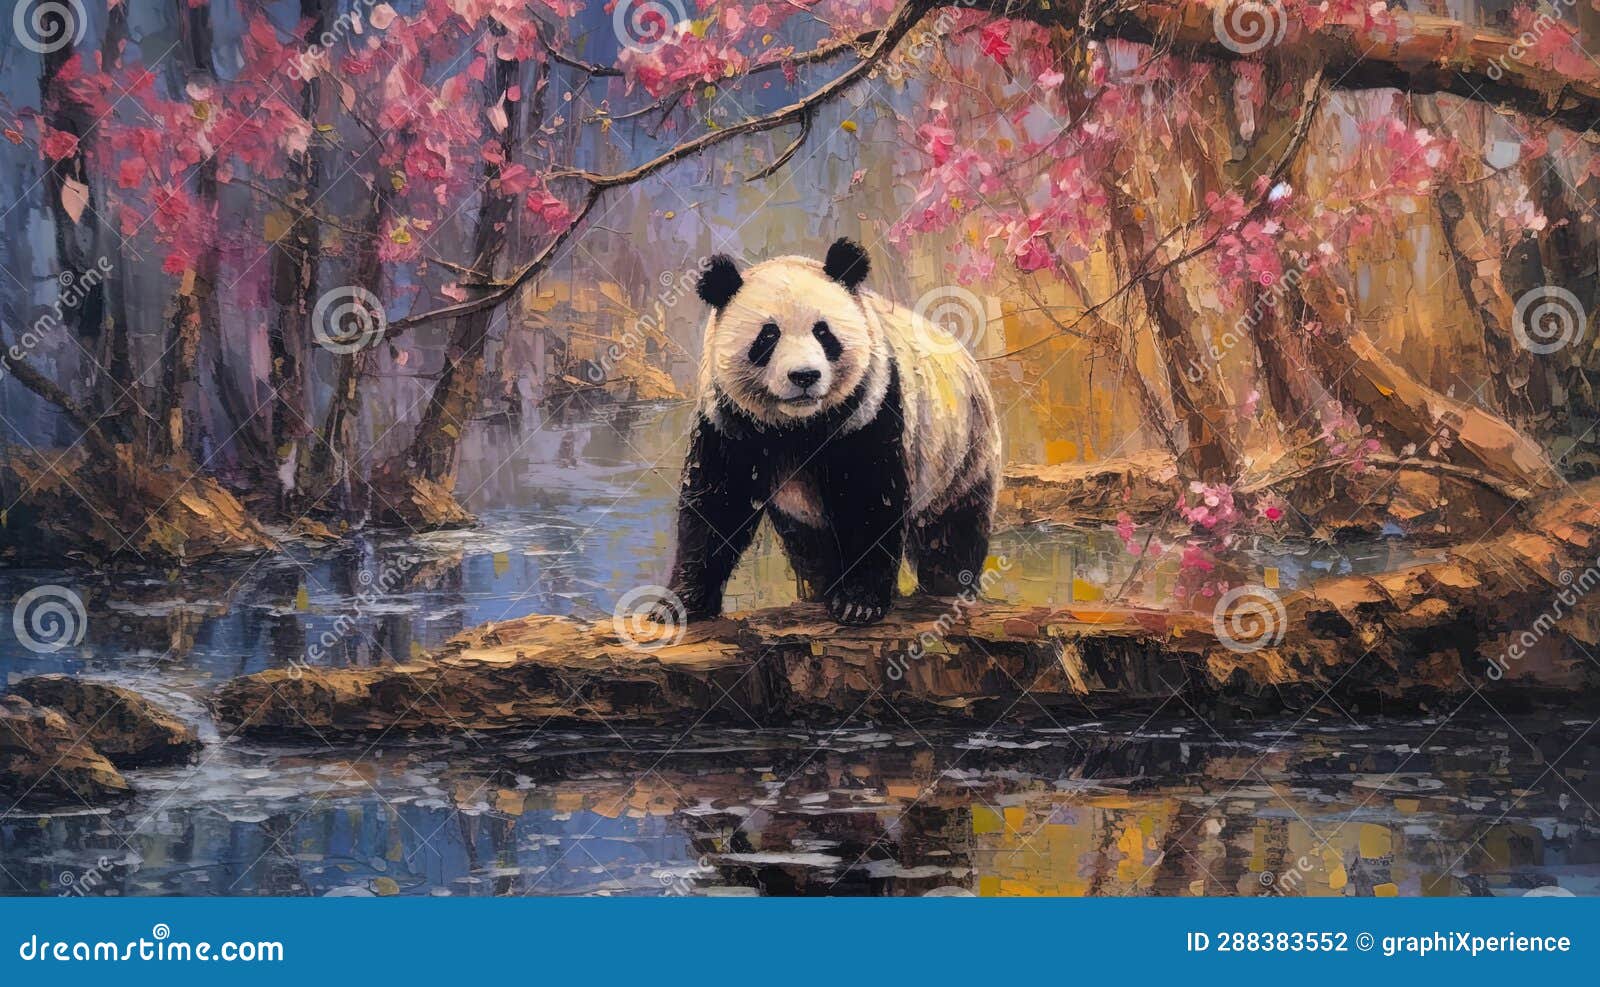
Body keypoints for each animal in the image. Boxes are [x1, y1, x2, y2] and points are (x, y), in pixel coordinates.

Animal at [657, 238, 1000, 626]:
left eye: (823, 332)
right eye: (768, 336)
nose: (804, 375)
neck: (798, 423)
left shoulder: (869, 407)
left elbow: (869, 500)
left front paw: (858, 603)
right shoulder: (731, 421)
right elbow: (717, 506)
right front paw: (682, 603)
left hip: (961, 451)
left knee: (952, 532)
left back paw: (946, 590)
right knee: (812, 549)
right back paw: (821, 590)